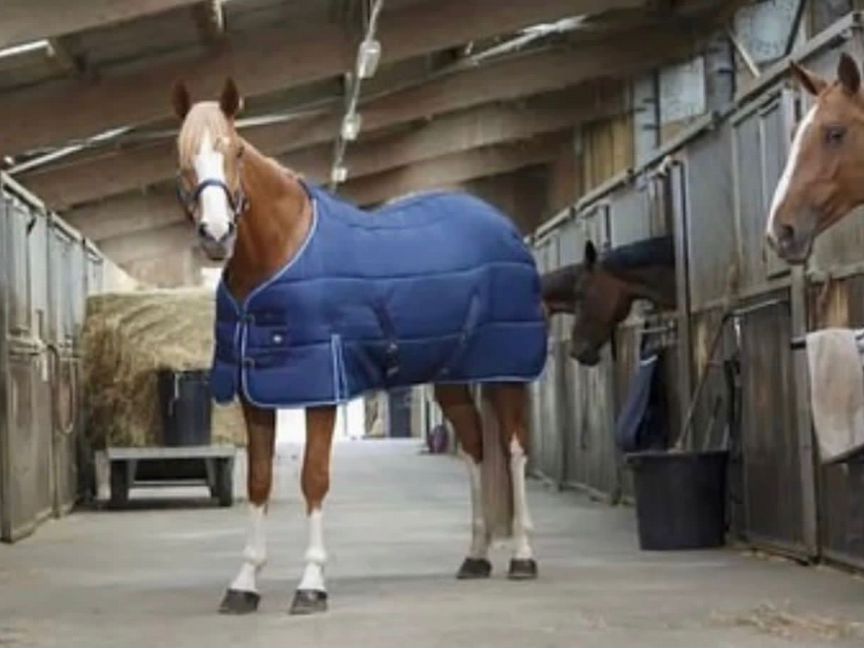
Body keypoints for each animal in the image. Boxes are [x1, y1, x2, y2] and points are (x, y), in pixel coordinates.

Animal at [171, 79, 548, 615]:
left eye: (237, 150)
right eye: (182, 155)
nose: (217, 235)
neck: (276, 255)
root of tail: (504, 227)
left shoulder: (321, 388)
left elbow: (313, 478)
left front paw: (311, 584)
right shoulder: (255, 392)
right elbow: (259, 481)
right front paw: (244, 584)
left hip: (505, 371)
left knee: (514, 450)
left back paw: (522, 556)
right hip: (452, 377)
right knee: (476, 448)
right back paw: (475, 557)